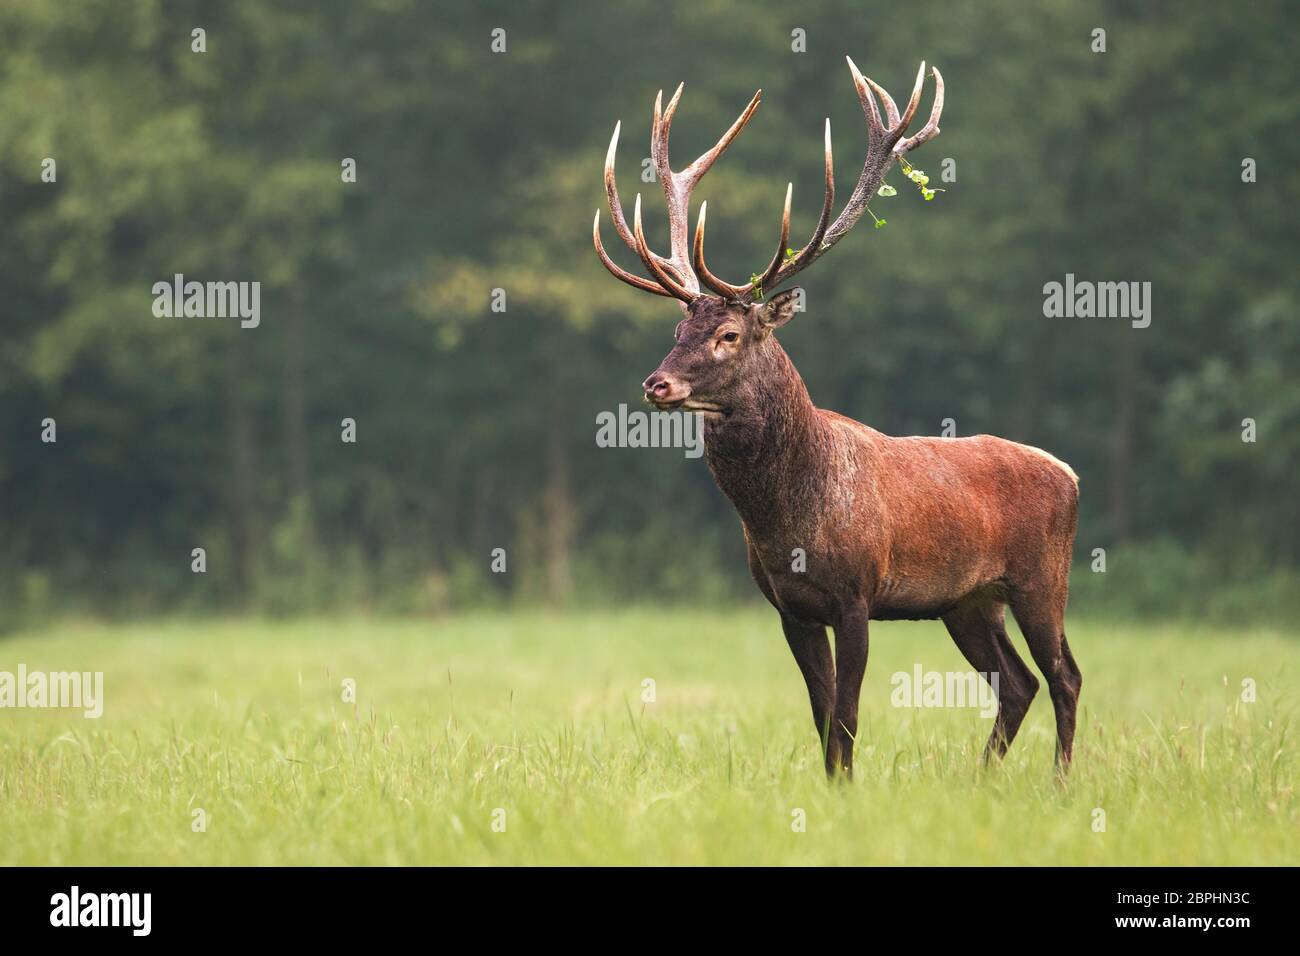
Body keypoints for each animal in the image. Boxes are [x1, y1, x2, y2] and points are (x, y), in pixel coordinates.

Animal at [593, 58, 1084, 780]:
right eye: (679, 329)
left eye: (730, 334)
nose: (657, 384)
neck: (788, 520)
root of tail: (1071, 474)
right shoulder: (790, 607)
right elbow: (822, 714)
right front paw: (832, 789)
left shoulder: (858, 593)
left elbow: (848, 715)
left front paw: (848, 791)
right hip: (969, 602)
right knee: (1018, 682)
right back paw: (982, 779)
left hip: (1042, 576)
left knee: (1064, 676)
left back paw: (1059, 783)